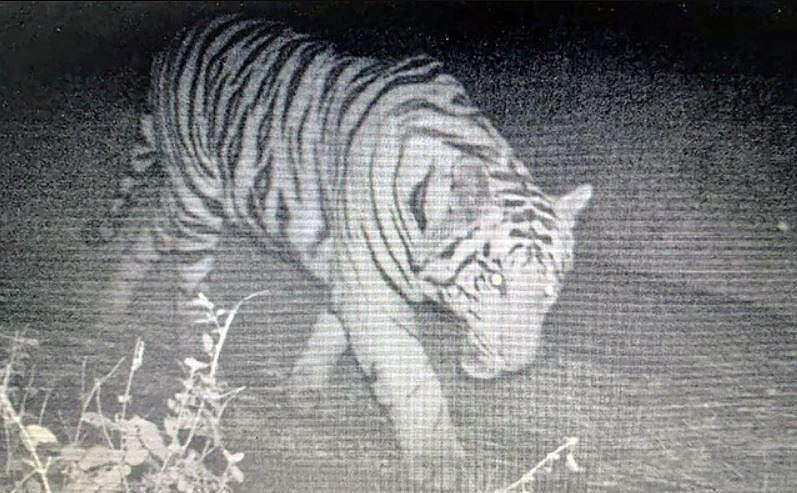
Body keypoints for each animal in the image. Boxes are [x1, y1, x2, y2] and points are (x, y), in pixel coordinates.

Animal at [95, 14, 592, 488]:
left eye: (547, 293)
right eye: (494, 279)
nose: (517, 363)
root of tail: (182, 34)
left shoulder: (352, 276)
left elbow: (332, 328)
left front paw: (303, 386)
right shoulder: (373, 292)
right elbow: (414, 382)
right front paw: (443, 464)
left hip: (184, 201)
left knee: (147, 231)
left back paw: (107, 305)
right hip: (199, 198)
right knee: (187, 283)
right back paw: (193, 356)